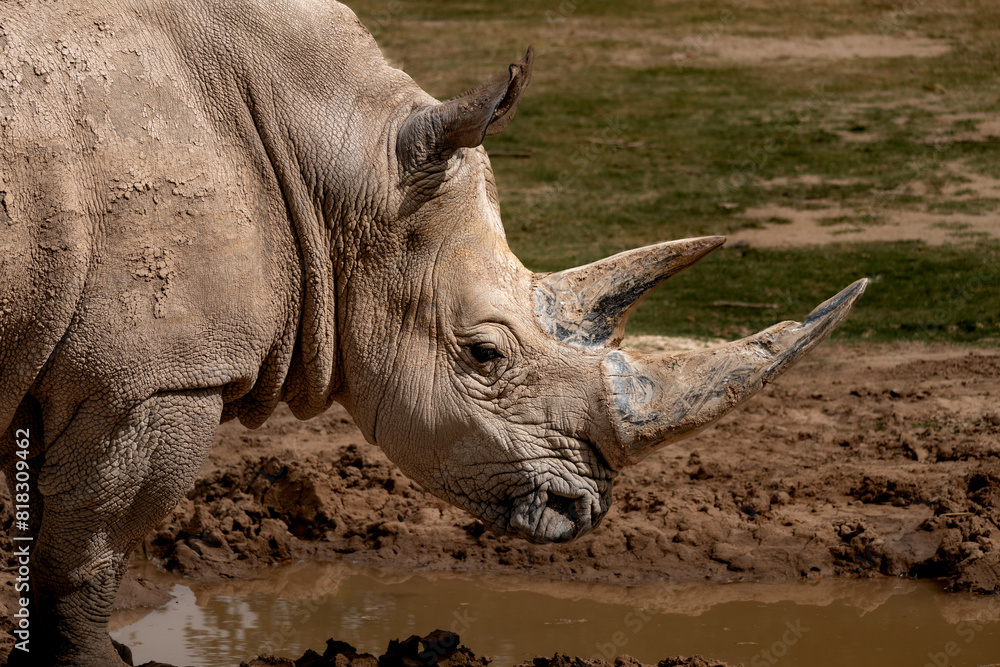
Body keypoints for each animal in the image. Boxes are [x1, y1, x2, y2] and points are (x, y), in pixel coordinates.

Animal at [0, 0, 866, 664]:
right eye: (484, 355)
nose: (580, 509)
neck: (338, 165)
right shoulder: (152, 378)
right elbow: (86, 556)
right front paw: (96, 658)